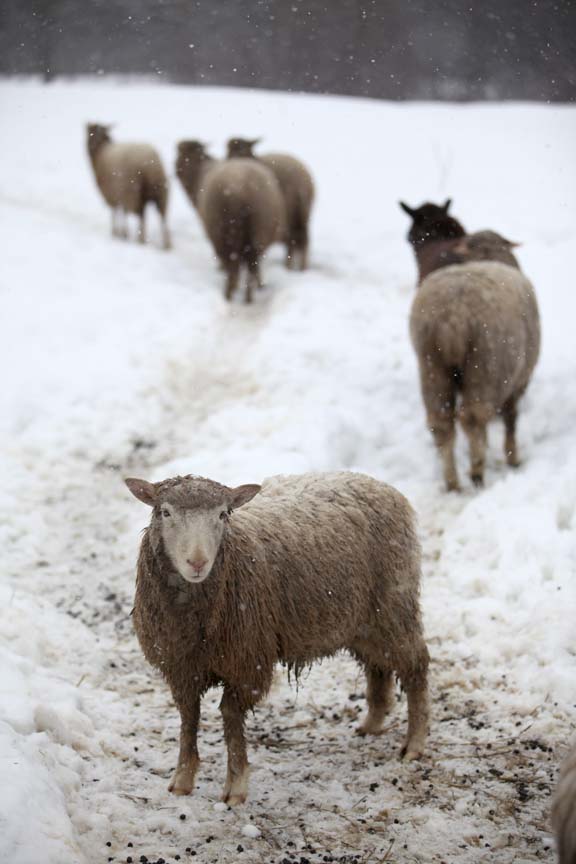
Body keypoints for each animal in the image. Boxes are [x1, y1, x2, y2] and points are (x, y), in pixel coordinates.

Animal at [125, 471, 430, 805]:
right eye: (165, 512)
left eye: (223, 514)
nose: (197, 562)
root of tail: (378, 484)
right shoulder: (180, 666)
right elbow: (189, 716)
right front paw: (182, 780)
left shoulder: (247, 662)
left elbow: (231, 716)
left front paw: (236, 787)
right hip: (362, 621)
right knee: (378, 666)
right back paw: (372, 723)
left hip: (393, 606)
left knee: (416, 666)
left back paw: (414, 743)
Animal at [175, 141, 284, 302]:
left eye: (181, 156)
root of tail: (244, 190)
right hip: (259, 231)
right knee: (252, 263)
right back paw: (248, 296)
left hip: (225, 233)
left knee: (233, 264)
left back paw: (229, 293)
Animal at [227, 137, 315, 271]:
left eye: (238, 150)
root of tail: (301, 185)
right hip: (303, 213)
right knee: (303, 240)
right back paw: (302, 268)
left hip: (289, 214)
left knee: (293, 240)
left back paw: (288, 266)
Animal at [410, 260, 540, 490]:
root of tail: (451, 318)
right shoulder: (517, 381)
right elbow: (511, 418)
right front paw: (512, 458)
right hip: (486, 366)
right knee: (472, 417)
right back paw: (477, 470)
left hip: (432, 366)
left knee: (441, 422)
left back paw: (452, 481)